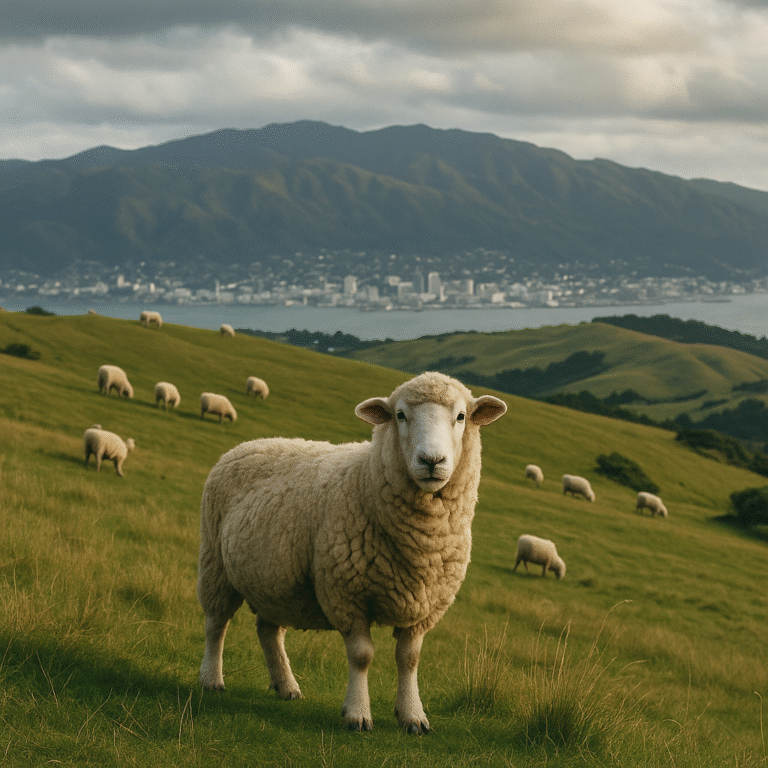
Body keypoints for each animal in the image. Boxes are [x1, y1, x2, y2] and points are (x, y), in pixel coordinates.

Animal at [197, 371, 507, 734]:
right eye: (400, 415)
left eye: (461, 416)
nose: (431, 461)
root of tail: (248, 444)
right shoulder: (346, 592)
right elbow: (362, 655)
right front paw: (357, 713)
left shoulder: (426, 605)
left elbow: (409, 659)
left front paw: (412, 715)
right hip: (215, 562)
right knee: (216, 623)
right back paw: (211, 678)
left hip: (275, 582)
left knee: (268, 632)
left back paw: (286, 685)